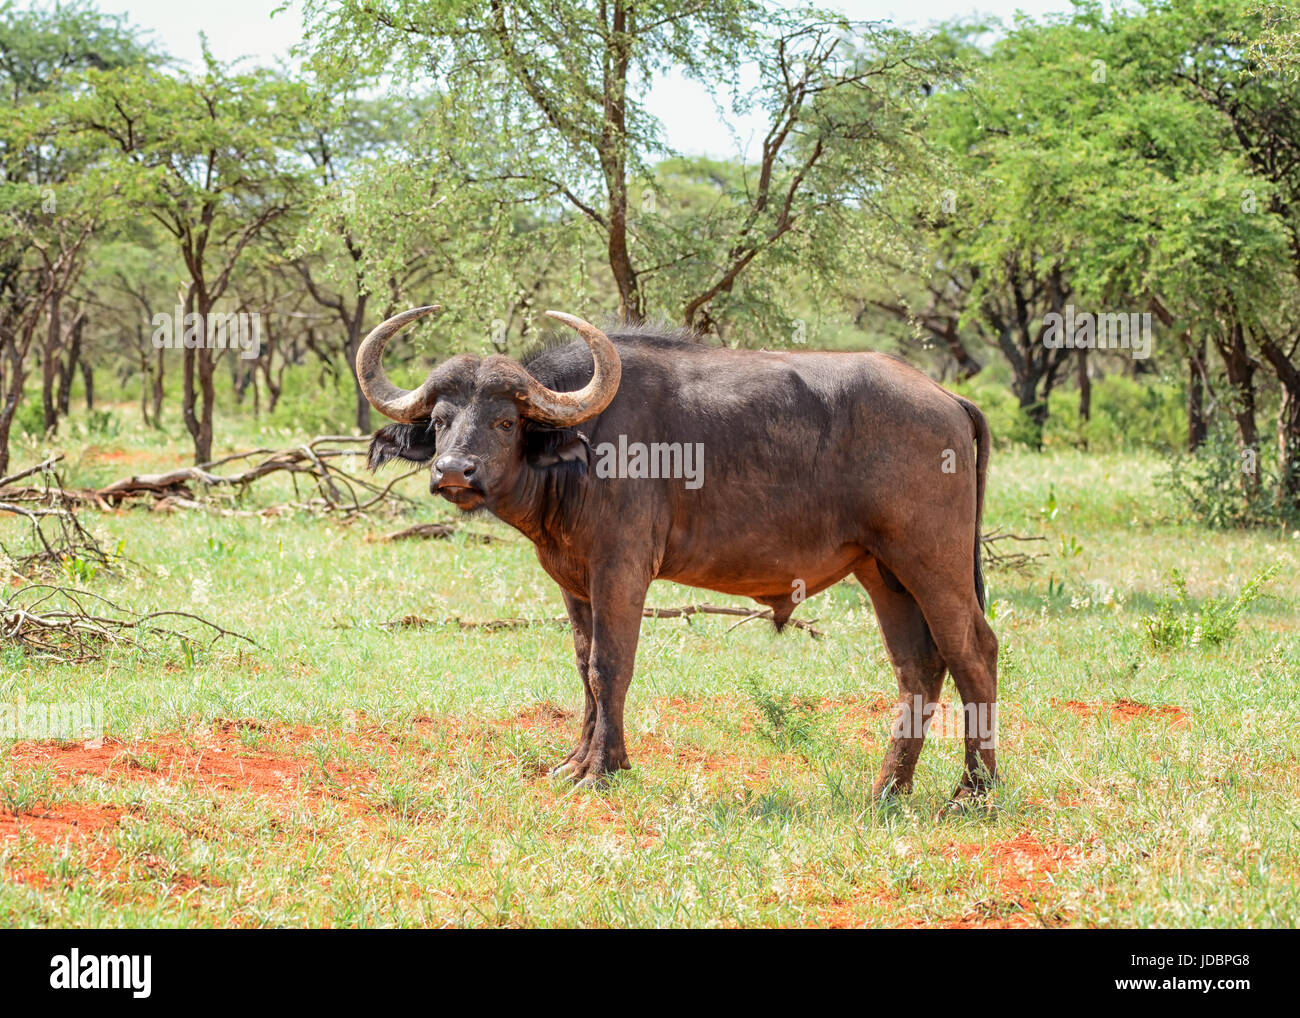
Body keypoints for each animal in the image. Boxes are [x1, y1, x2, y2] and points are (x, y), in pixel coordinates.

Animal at [360, 306, 998, 805]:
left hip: (932, 564)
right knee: (918, 666)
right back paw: (888, 788)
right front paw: (575, 761)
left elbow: (609, 666)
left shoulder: (621, 571)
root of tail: (948, 399)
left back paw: (974, 791)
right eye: (440, 421)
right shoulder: (573, 581)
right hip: (883, 572)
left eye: (505, 420)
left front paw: (603, 769)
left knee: (975, 652)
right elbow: (584, 666)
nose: (453, 473)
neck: (586, 446)